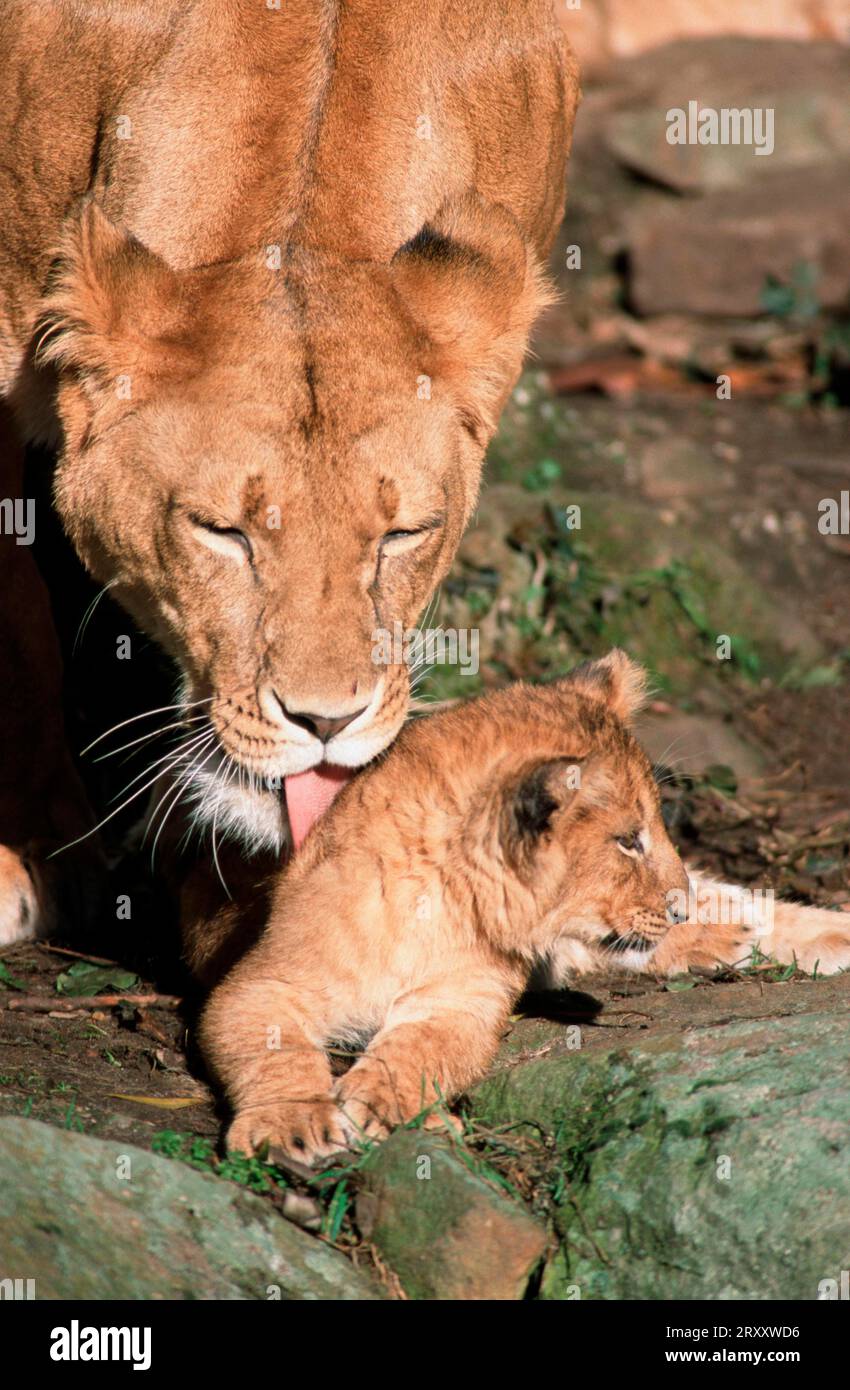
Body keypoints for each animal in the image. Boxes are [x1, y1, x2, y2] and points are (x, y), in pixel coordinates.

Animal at [199, 653, 850, 1163]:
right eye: (628, 840)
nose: (680, 907)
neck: (441, 899)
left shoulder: (461, 1003)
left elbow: (420, 1052)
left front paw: (385, 1104)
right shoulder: (261, 982)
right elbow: (272, 1048)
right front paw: (292, 1123)